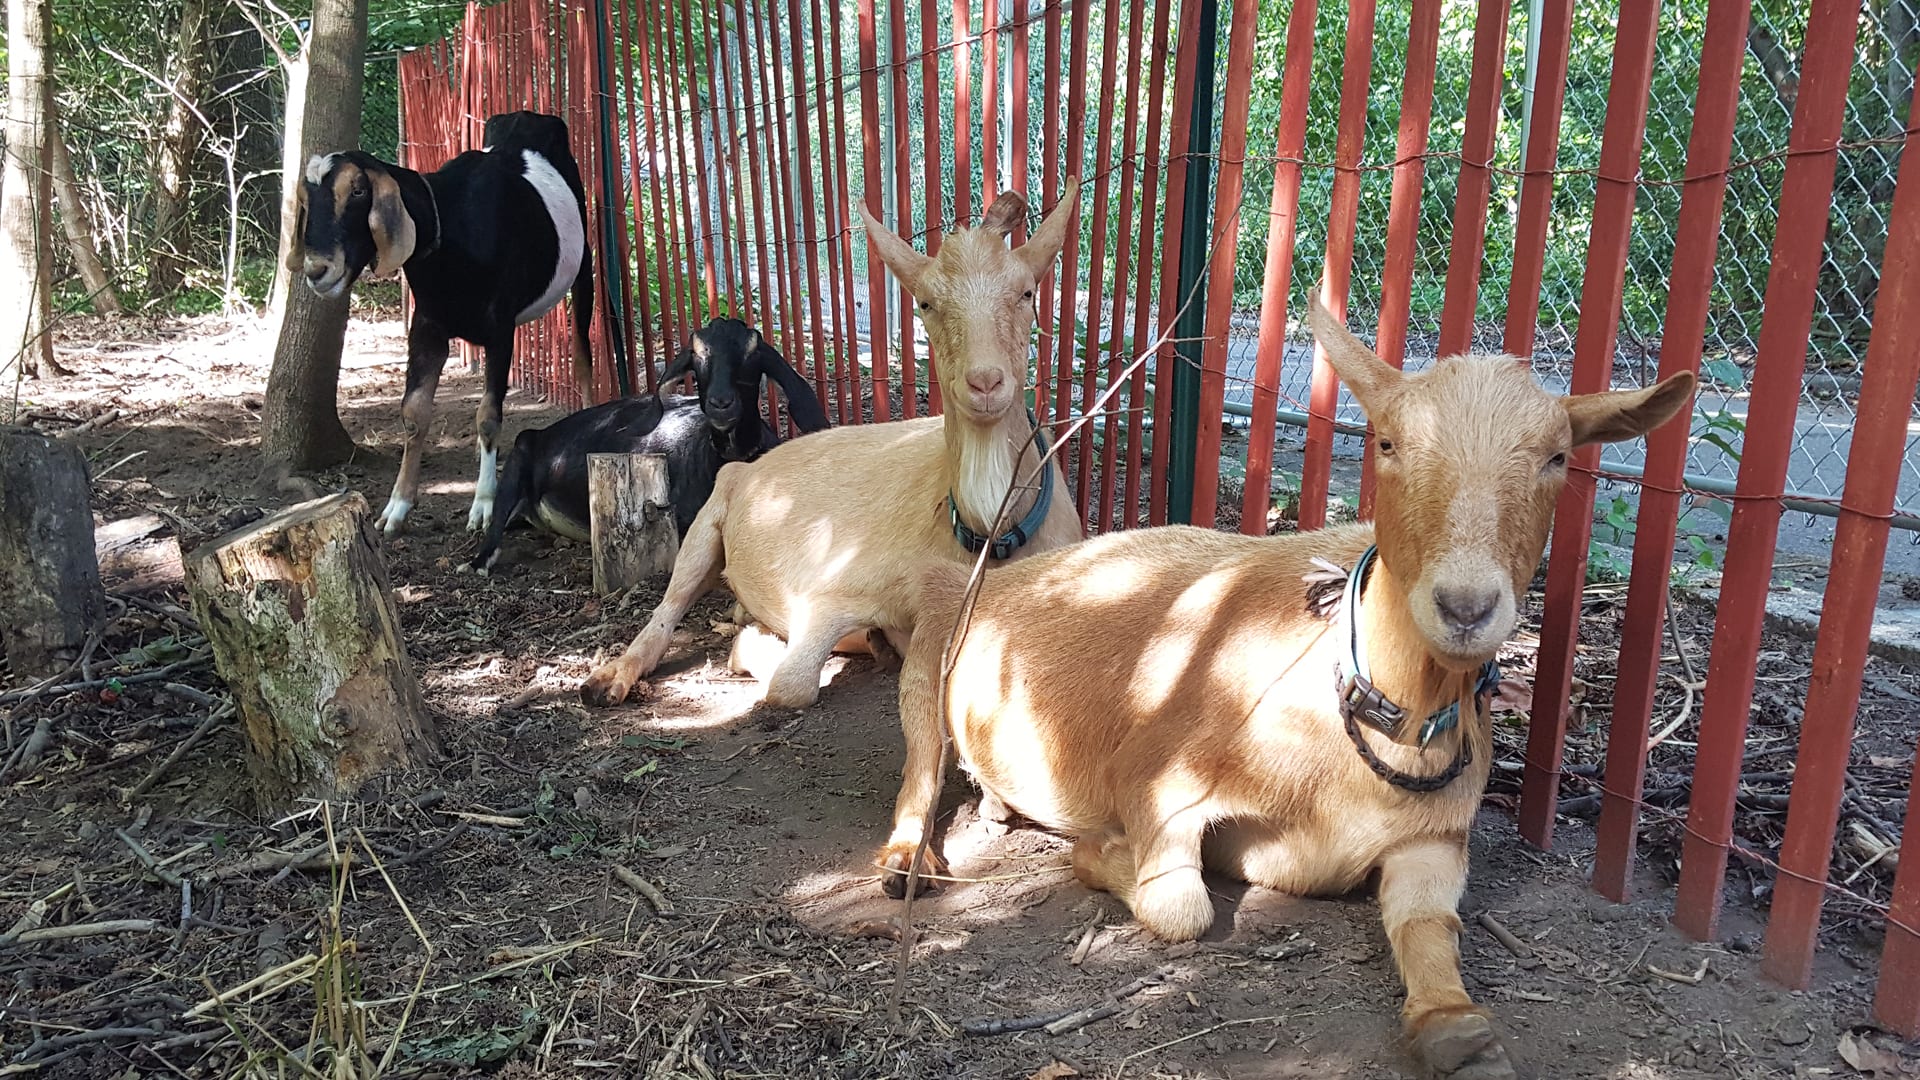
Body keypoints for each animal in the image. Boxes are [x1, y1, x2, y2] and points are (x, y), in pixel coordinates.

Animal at [292, 110, 601, 537]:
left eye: (357, 190)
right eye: (306, 199)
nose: (317, 270)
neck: (451, 231)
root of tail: (530, 115)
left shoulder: (498, 330)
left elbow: (488, 416)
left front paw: (483, 505)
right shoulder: (427, 328)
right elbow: (413, 414)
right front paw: (397, 507)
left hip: (583, 267)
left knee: (583, 354)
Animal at [579, 183, 1088, 709]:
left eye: (1026, 291)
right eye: (926, 303)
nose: (985, 382)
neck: (986, 533)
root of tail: (748, 465)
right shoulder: (828, 593)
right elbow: (792, 682)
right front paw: (753, 644)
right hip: (705, 527)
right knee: (668, 606)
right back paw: (610, 678)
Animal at [875, 301, 1696, 1080]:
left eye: (1558, 456)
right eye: (1388, 443)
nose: (1466, 606)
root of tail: (976, 576)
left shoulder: (1434, 839)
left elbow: (1430, 926)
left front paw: (1456, 1028)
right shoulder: (1153, 774)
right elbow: (1179, 904)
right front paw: (1096, 852)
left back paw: (996, 802)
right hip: (926, 675)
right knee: (918, 774)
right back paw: (905, 862)